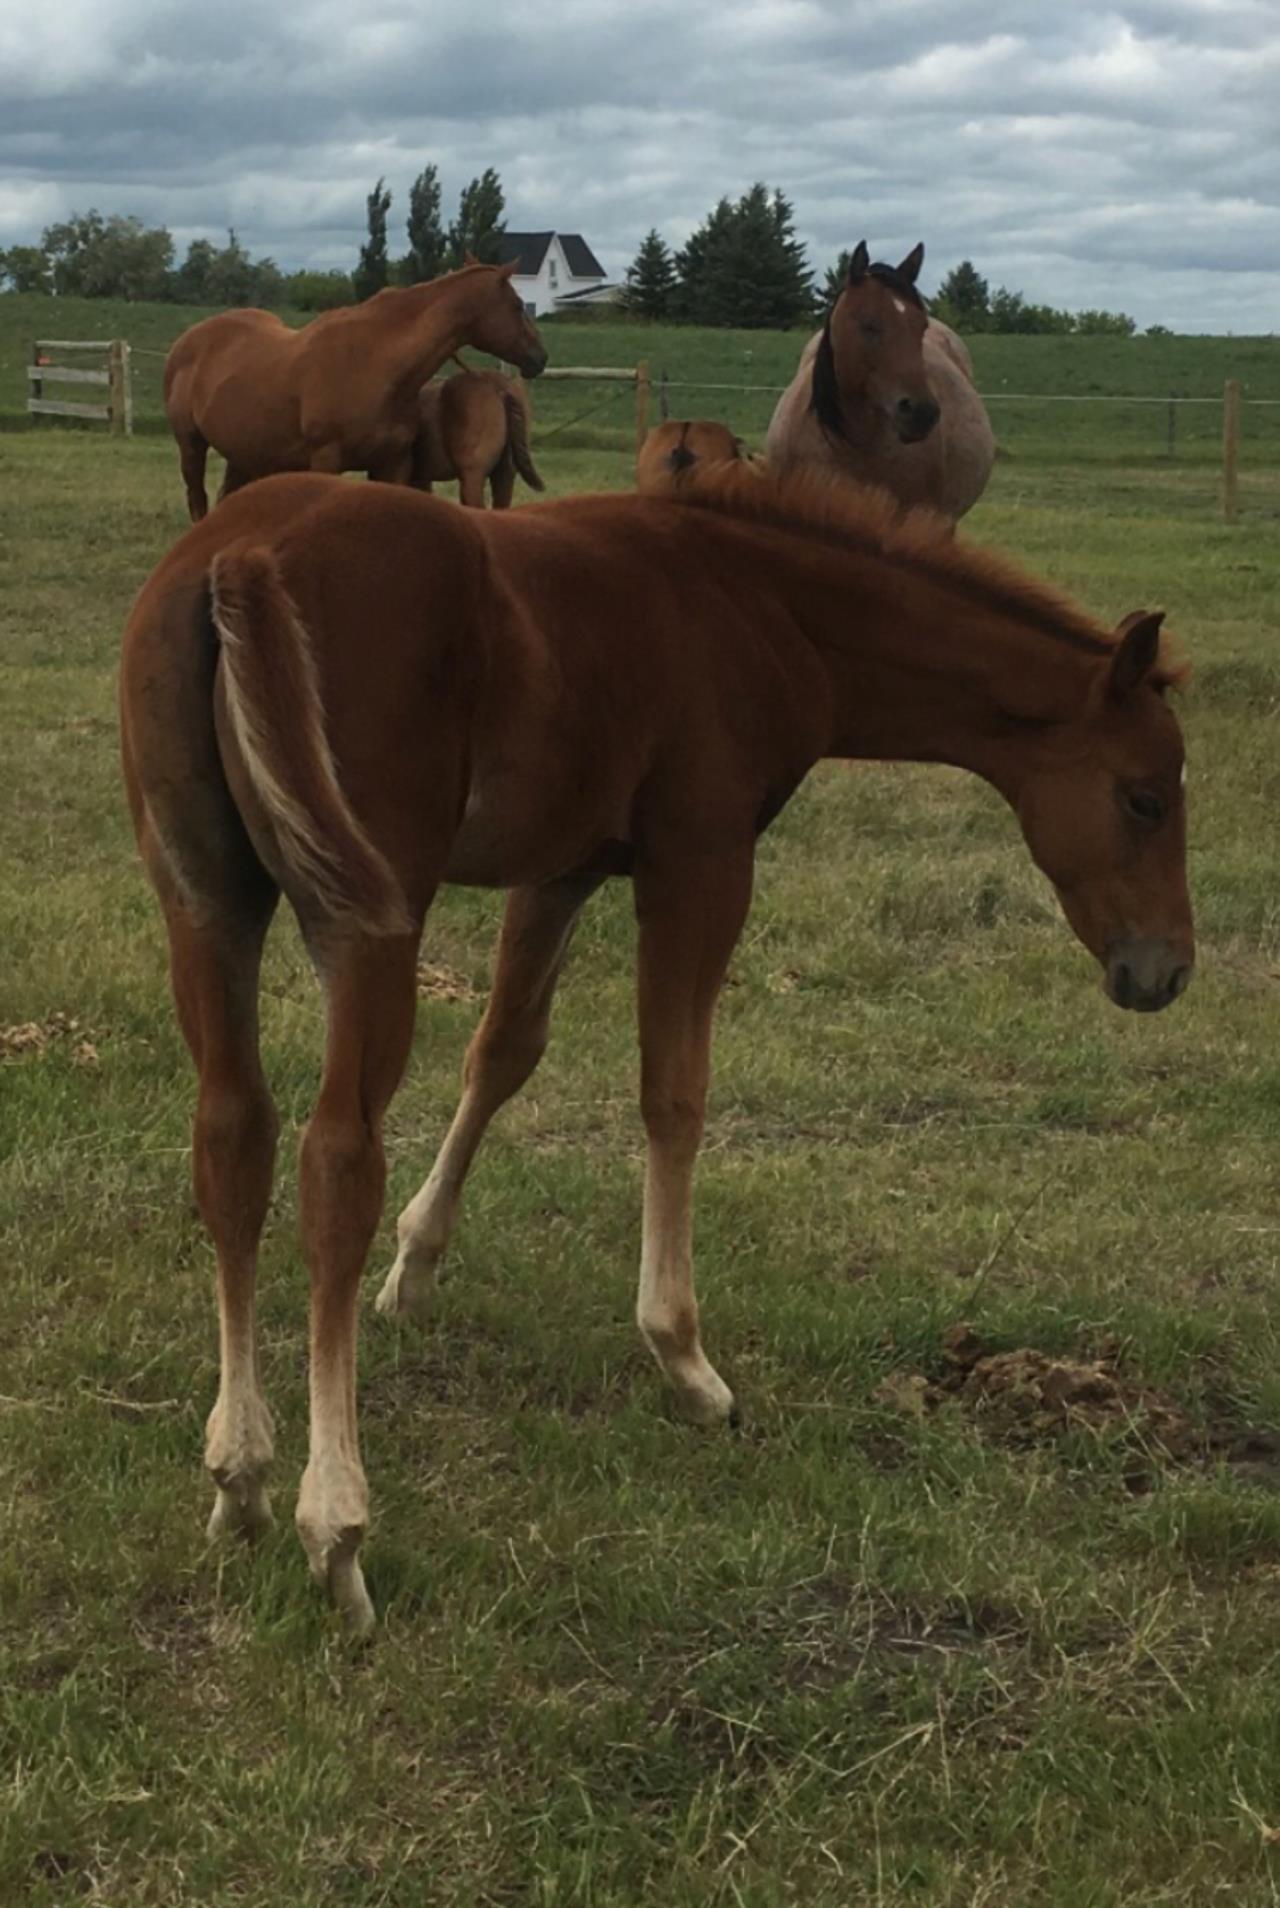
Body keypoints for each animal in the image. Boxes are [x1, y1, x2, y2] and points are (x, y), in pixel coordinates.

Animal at [119, 464, 1193, 1633]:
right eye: (1145, 796)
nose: (1164, 971)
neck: (762, 606)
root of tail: (241, 554)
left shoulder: (566, 864)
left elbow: (503, 1050)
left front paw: (416, 1267)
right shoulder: (701, 860)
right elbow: (673, 1093)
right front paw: (684, 1359)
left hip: (206, 901)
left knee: (233, 1140)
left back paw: (239, 1482)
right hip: (366, 918)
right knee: (333, 1163)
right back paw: (336, 1527)